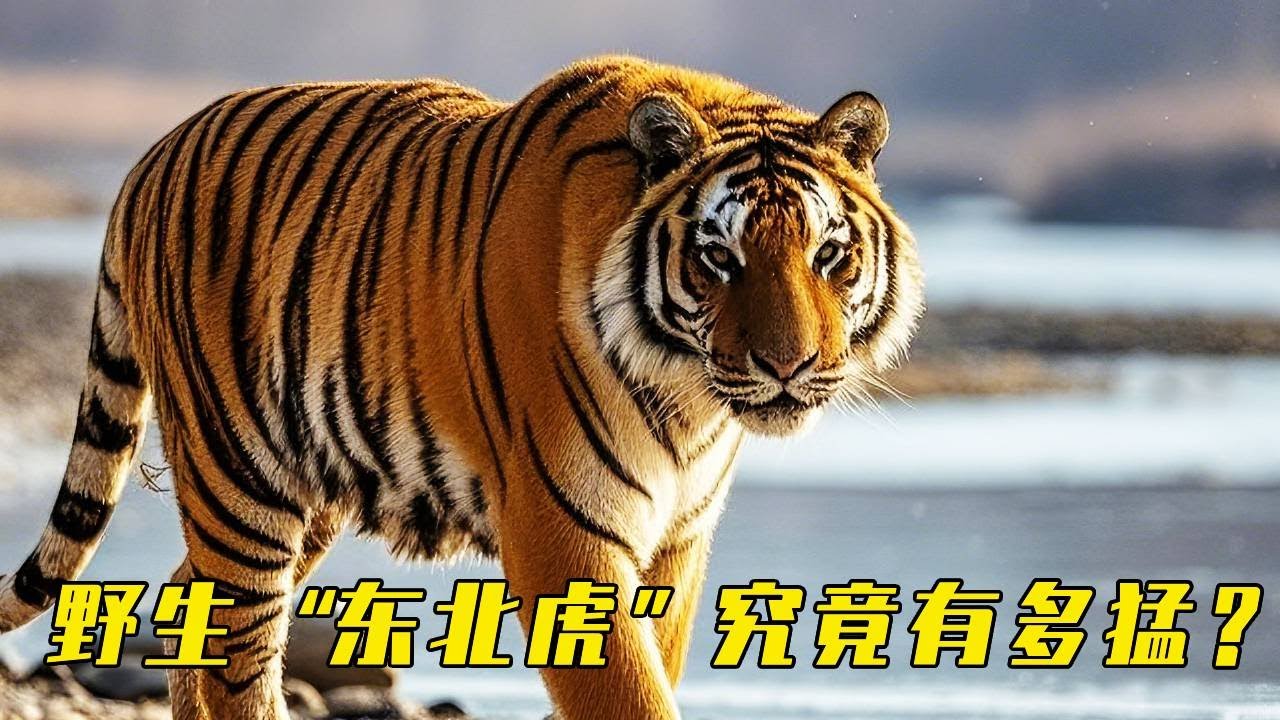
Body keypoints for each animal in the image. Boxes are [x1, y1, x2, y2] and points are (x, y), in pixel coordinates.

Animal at [0, 55, 922, 719]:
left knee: (185, 602)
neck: (689, 399)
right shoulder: (562, 532)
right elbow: (629, 694)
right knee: (237, 650)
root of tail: (152, 154)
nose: (788, 366)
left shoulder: (679, 538)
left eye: (828, 254)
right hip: (239, 479)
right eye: (719, 258)